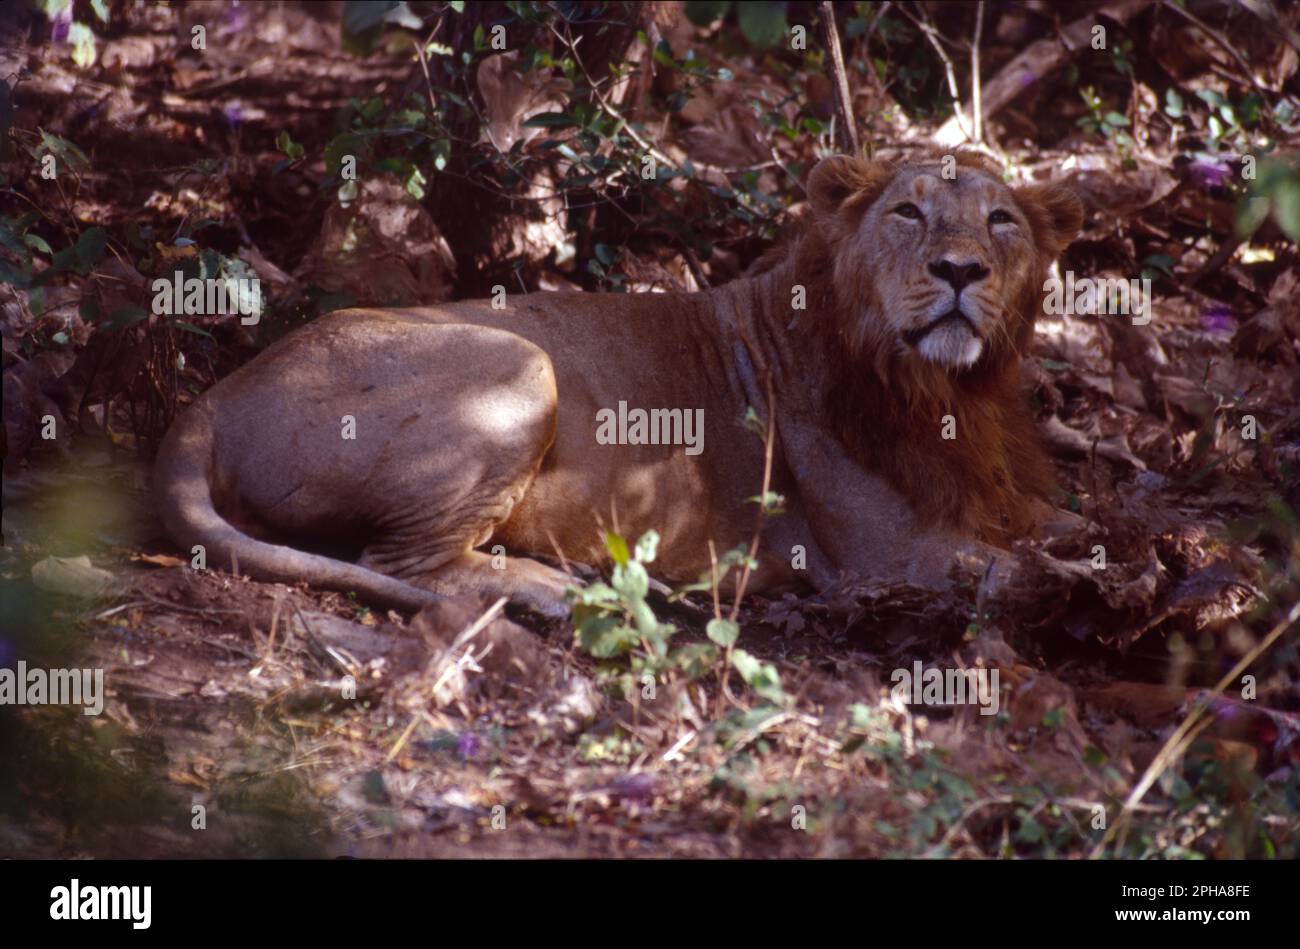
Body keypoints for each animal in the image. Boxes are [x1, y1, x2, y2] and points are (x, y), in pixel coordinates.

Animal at [154, 153, 1082, 618]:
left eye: (1001, 220)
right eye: (907, 213)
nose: (960, 269)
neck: (950, 393)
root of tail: (210, 400)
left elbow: (1068, 524)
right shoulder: (889, 553)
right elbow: (1011, 569)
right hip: (520, 361)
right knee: (402, 561)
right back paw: (553, 589)